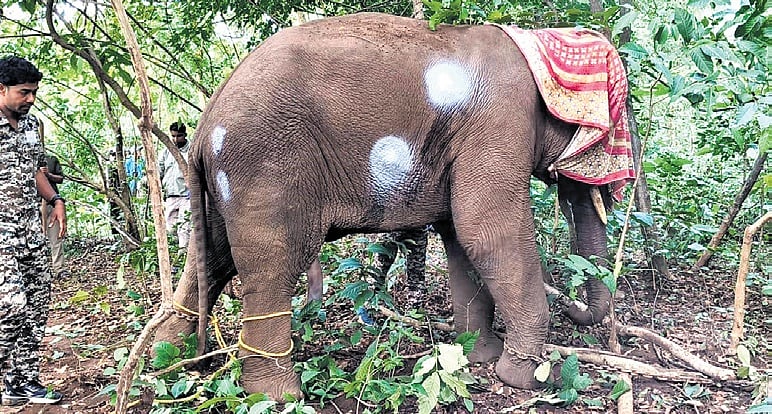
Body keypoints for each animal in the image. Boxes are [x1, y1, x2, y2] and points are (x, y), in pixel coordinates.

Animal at [157, 12, 629, 400]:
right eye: (617, 126)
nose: (572, 306)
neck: (534, 45)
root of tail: (205, 123)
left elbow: (461, 236)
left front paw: (478, 357)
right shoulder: (499, 122)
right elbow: (488, 231)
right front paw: (524, 378)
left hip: (225, 183)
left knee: (211, 258)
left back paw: (170, 355)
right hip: (264, 166)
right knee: (273, 265)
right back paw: (278, 395)